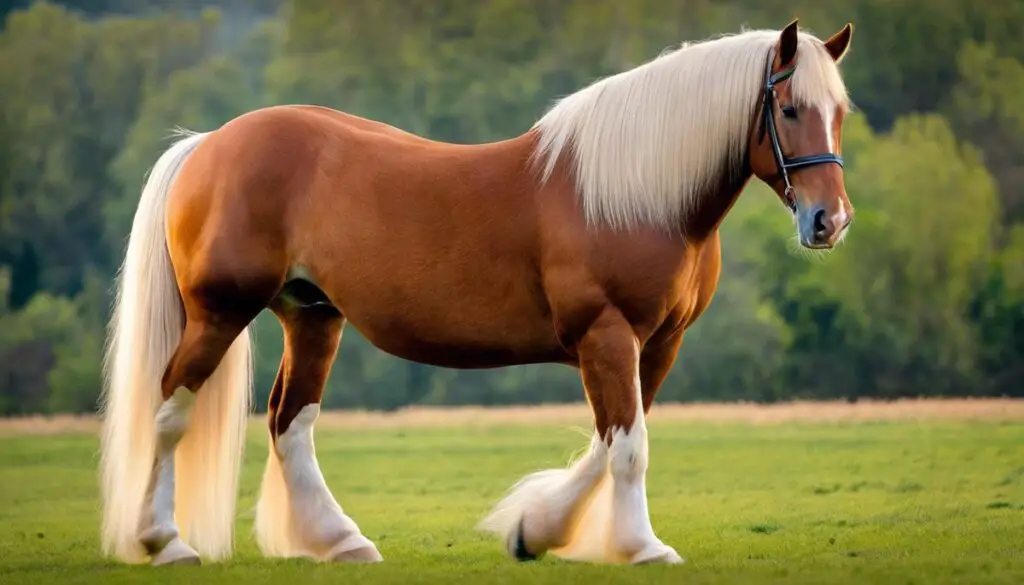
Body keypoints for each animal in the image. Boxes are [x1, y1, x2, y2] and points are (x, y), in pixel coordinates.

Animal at [97, 19, 855, 567]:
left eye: (840, 111)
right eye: (789, 109)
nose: (831, 221)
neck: (636, 196)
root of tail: (208, 145)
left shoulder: (655, 345)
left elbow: (609, 441)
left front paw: (535, 530)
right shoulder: (608, 335)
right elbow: (626, 447)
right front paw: (641, 547)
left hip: (312, 316)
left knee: (291, 423)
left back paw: (341, 541)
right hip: (220, 312)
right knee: (169, 409)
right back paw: (165, 542)